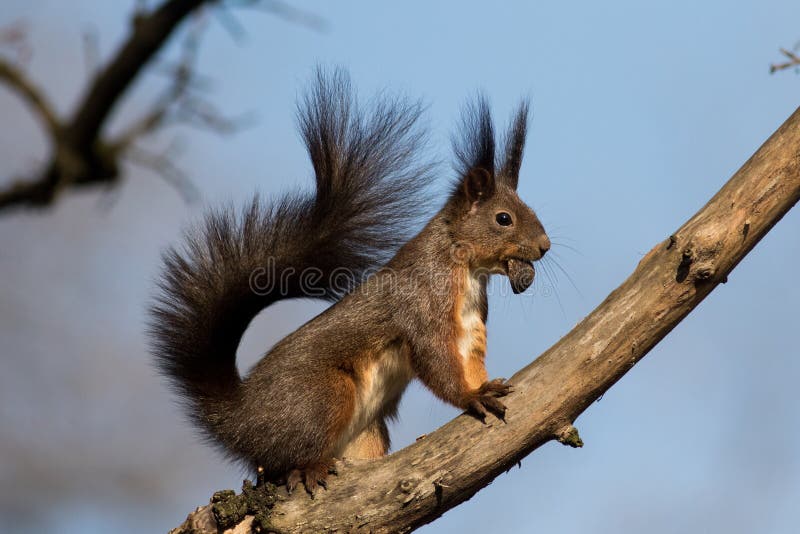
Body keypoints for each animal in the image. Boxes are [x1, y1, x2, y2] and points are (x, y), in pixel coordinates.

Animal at [149, 68, 550, 496]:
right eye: (504, 218)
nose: (545, 246)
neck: (466, 270)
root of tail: (241, 421)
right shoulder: (423, 303)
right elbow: (435, 360)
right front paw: (471, 395)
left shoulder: (472, 325)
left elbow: (470, 360)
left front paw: (486, 387)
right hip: (324, 395)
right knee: (289, 457)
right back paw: (309, 468)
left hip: (366, 433)